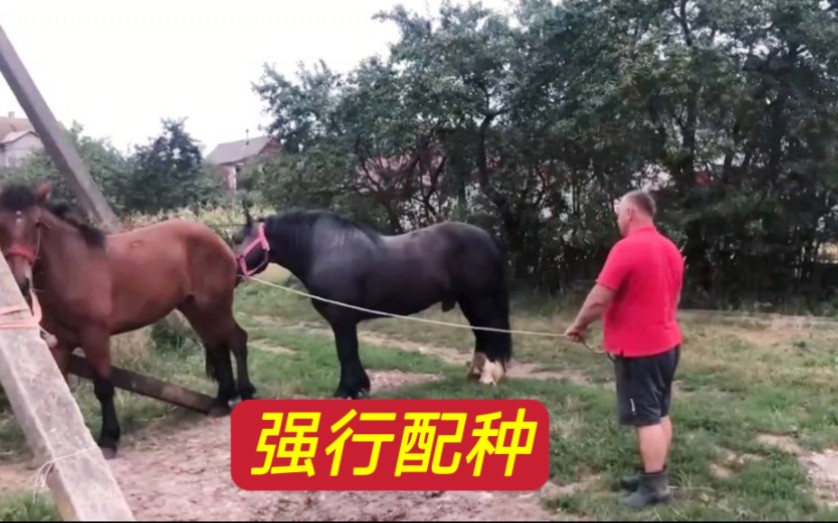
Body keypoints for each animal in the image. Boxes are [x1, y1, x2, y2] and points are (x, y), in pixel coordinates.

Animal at [0, 181, 255, 459]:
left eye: (36, 224)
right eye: (0, 225)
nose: (21, 281)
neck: (72, 266)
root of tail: (216, 238)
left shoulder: (95, 336)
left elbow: (103, 387)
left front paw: (108, 439)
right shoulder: (60, 344)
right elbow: (60, 390)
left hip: (215, 305)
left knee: (236, 339)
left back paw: (246, 393)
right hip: (196, 309)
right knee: (218, 346)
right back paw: (221, 401)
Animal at [231, 206, 513, 399]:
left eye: (238, 239)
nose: (232, 270)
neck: (322, 250)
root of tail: (487, 238)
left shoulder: (342, 319)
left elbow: (346, 351)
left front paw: (346, 390)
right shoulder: (345, 321)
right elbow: (350, 352)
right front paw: (359, 387)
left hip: (480, 300)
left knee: (490, 330)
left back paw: (489, 376)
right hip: (470, 302)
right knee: (481, 333)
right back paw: (476, 374)